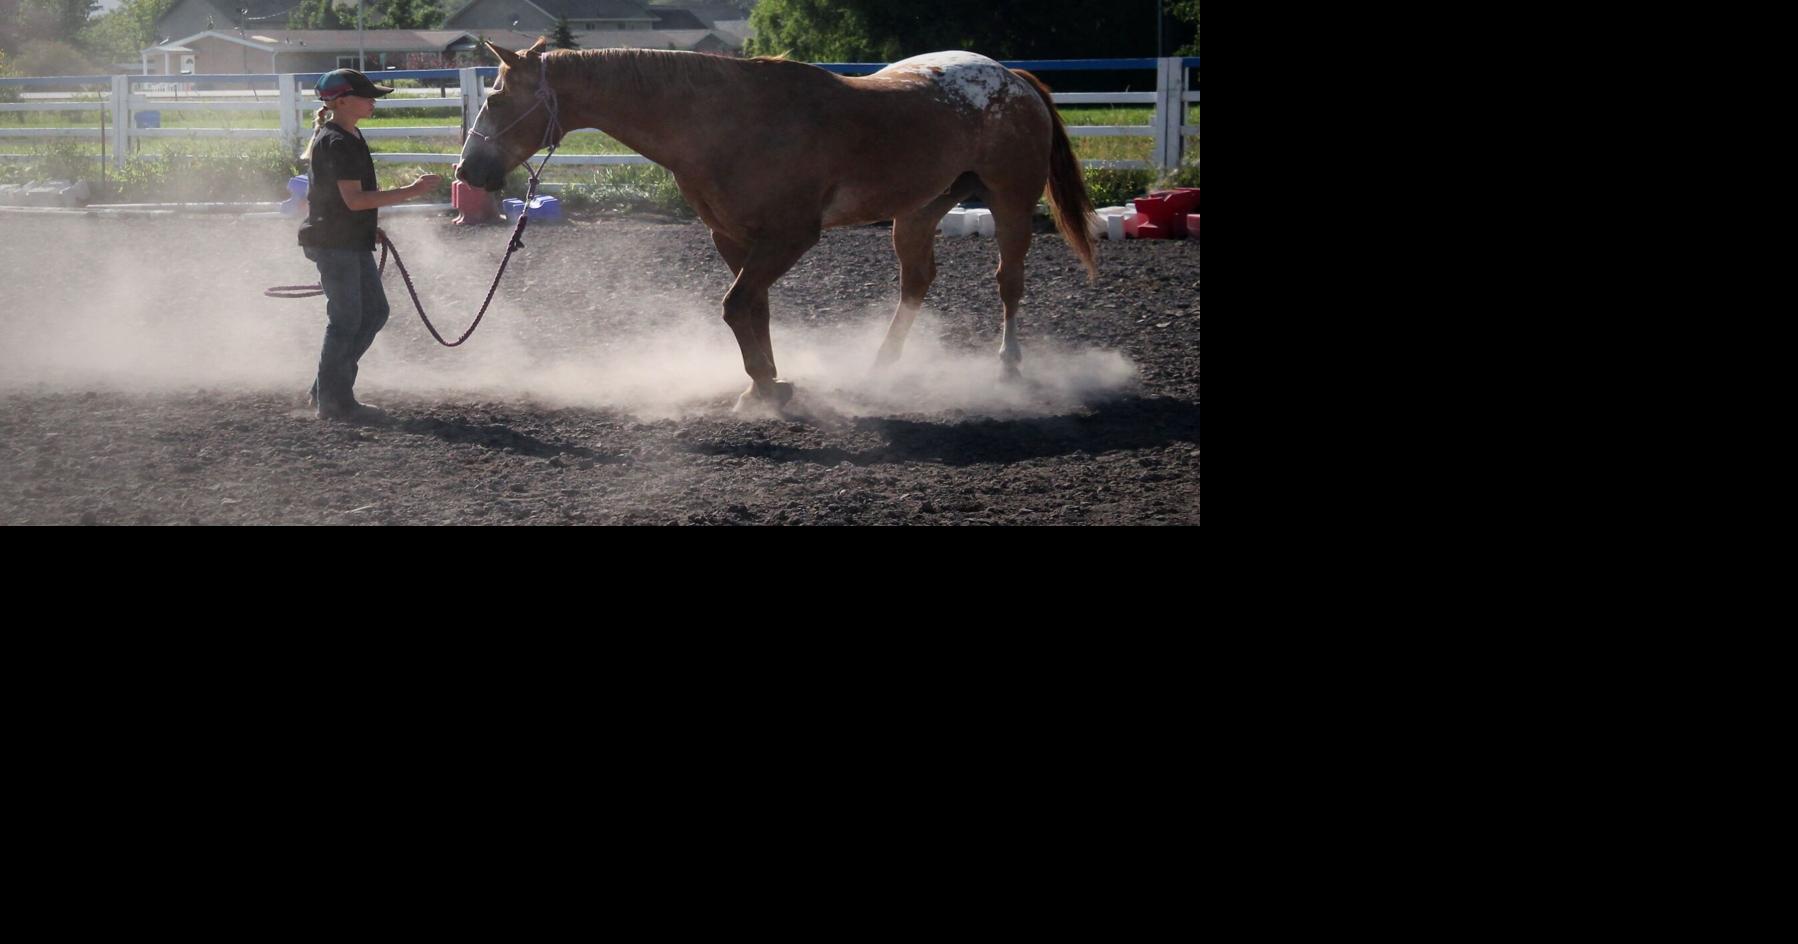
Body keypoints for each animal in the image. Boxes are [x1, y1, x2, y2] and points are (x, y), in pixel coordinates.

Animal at [455, 40, 1098, 413]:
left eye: (497, 98)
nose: (467, 171)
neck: (728, 123)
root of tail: (1012, 78)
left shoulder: (790, 237)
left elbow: (738, 305)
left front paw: (767, 386)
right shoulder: (733, 238)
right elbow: (752, 310)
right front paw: (763, 386)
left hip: (1010, 202)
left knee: (1008, 282)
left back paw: (1007, 366)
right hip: (918, 210)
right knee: (917, 281)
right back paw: (881, 367)